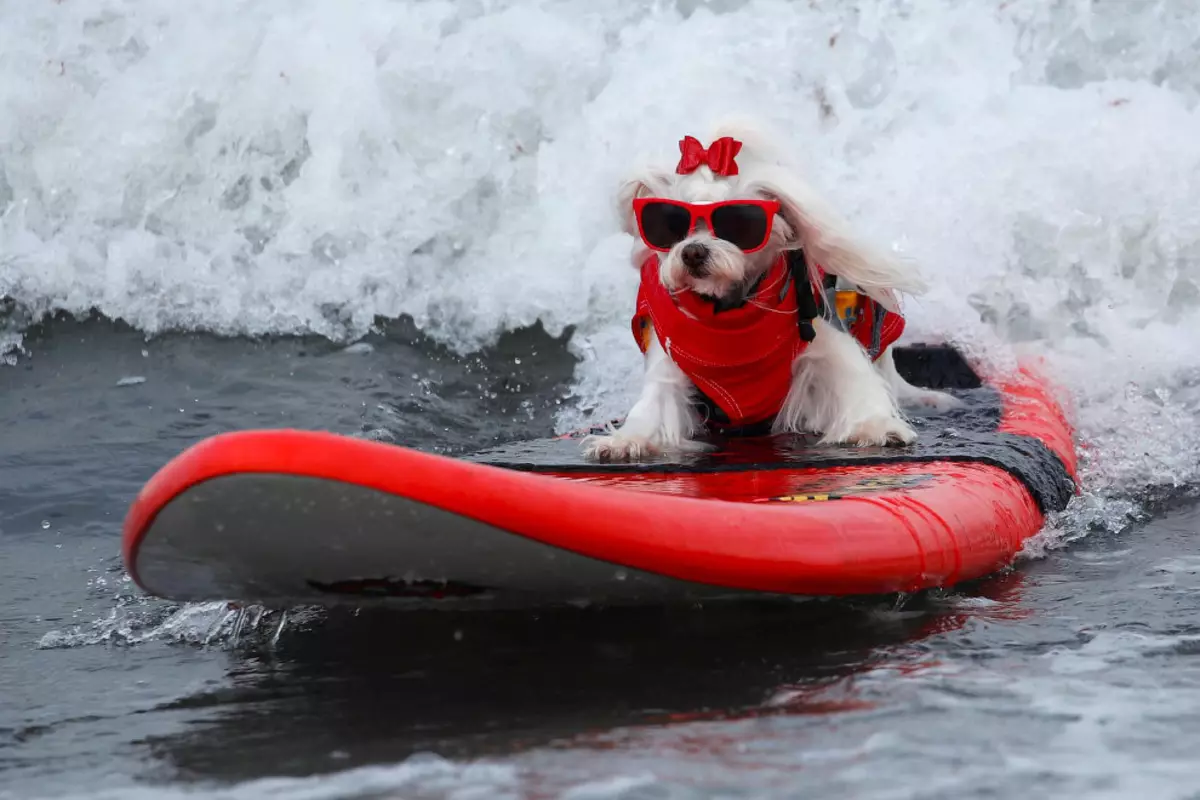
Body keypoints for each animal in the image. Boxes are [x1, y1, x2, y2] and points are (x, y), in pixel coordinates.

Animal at [580, 122, 955, 465]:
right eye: (670, 223)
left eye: (738, 223)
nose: (693, 252)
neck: (729, 314)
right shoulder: (669, 357)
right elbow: (654, 404)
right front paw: (624, 441)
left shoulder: (823, 333)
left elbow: (851, 374)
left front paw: (875, 426)